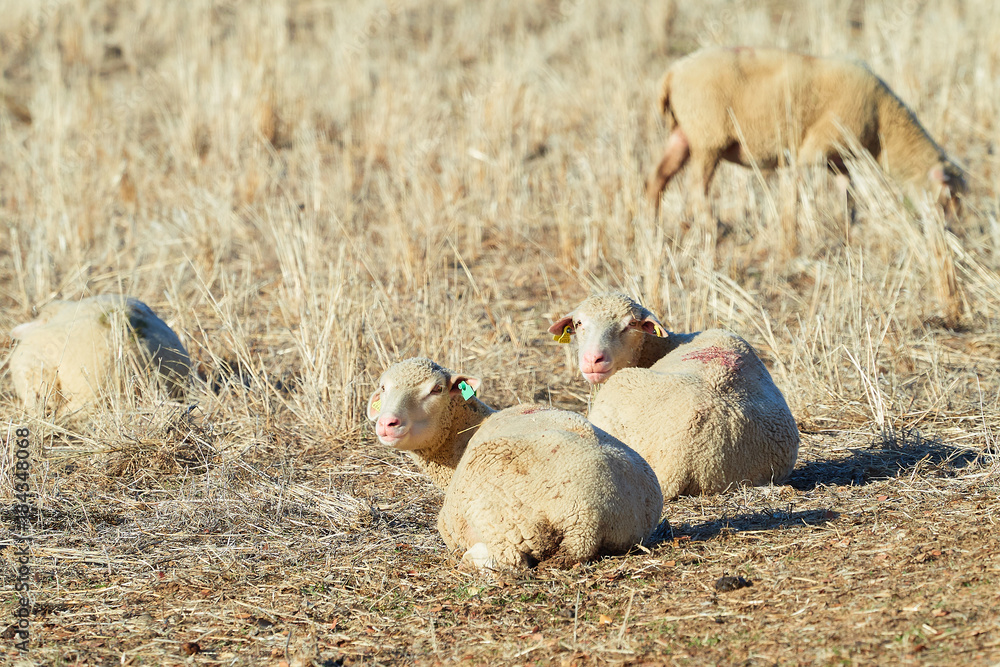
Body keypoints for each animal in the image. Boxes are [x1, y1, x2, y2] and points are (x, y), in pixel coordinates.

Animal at [367, 357, 663, 570]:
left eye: (436, 389)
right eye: (383, 387)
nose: (387, 423)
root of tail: (588, 521)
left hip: (502, 520)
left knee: (509, 562)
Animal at [646, 46, 965, 216]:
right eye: (949, 196)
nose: (950, 231)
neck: (884, 120)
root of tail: (671, 73)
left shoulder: (837, 158)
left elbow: (847, 190)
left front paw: (849, 224)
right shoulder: (815, 148)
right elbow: (796, 187)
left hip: (683, 135)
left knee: (658, 178)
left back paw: (652, 225)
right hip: (708, 139)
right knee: (696, 189)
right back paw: (710, 228)